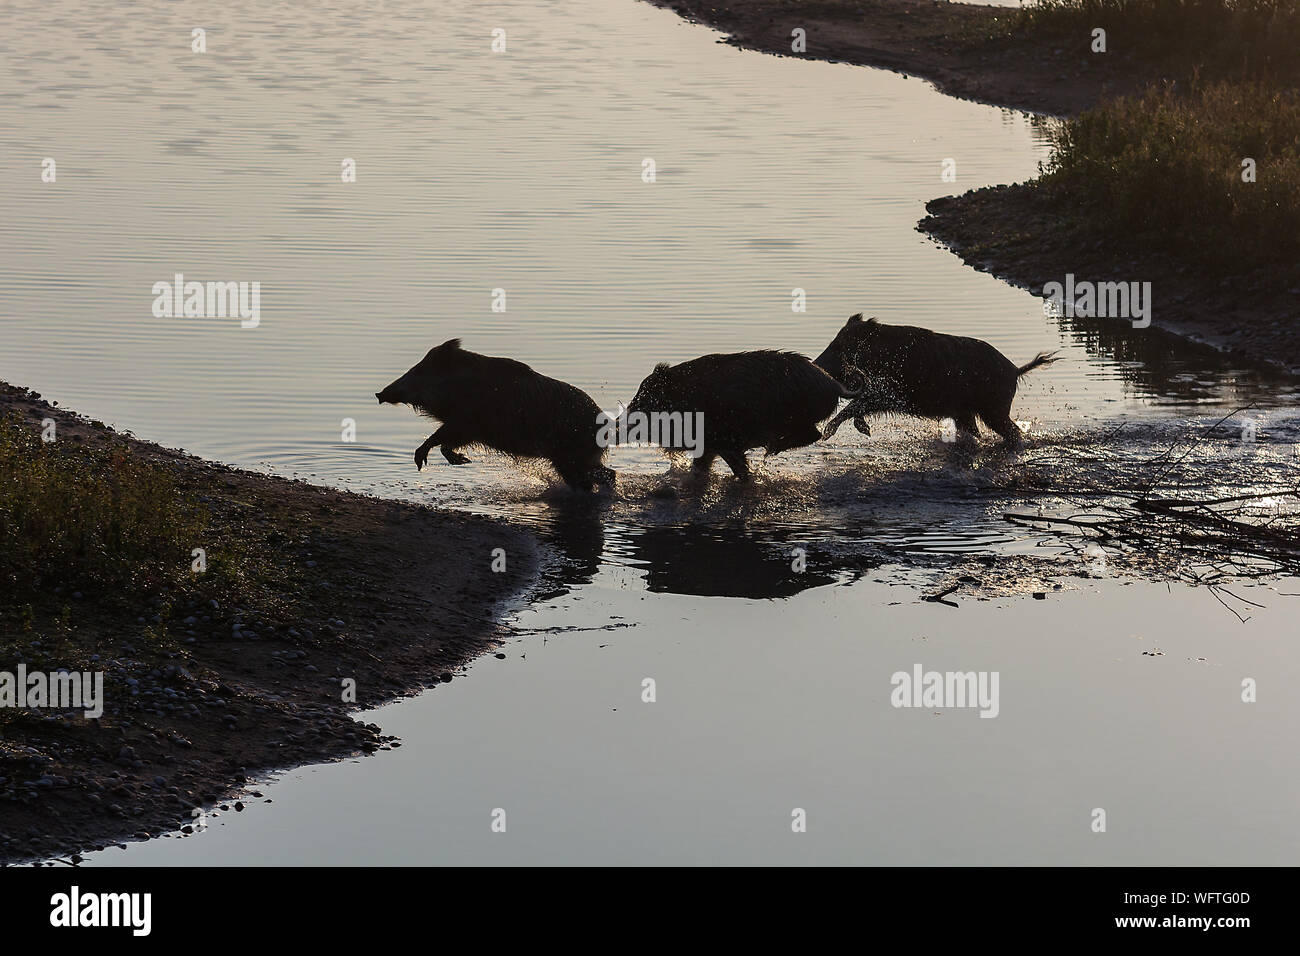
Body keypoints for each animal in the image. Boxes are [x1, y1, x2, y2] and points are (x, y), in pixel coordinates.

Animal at [376, 339, 614, 491]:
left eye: (420, 370)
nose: (379, 394)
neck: (458, 387)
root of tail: (609, 426)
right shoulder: (466, 428)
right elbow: (445, 443)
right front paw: (464, 461)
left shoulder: (466, 422)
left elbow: (440, 438)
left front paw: (424, 461)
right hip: (569, 461)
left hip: (572, 457)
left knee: (605, 475)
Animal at [622, 350, 860, 479]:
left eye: (647, 398)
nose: (618, 422)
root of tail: (834, 385)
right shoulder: (712, 445)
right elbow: (704, 466)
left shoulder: (723, 440)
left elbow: (735, 465)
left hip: (795, 417)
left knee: (814, 435)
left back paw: (771, 450)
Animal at [814, 314, 1058, 447]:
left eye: (839, 346)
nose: (817, 364)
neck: (880, 353)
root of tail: (1015, 370)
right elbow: (858, 407)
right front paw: (864, 431)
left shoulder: (890, 392)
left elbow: (856, 405)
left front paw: (827, 434)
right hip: (967, 412)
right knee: (976, 432)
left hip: (993, 409)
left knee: (1013, 432)